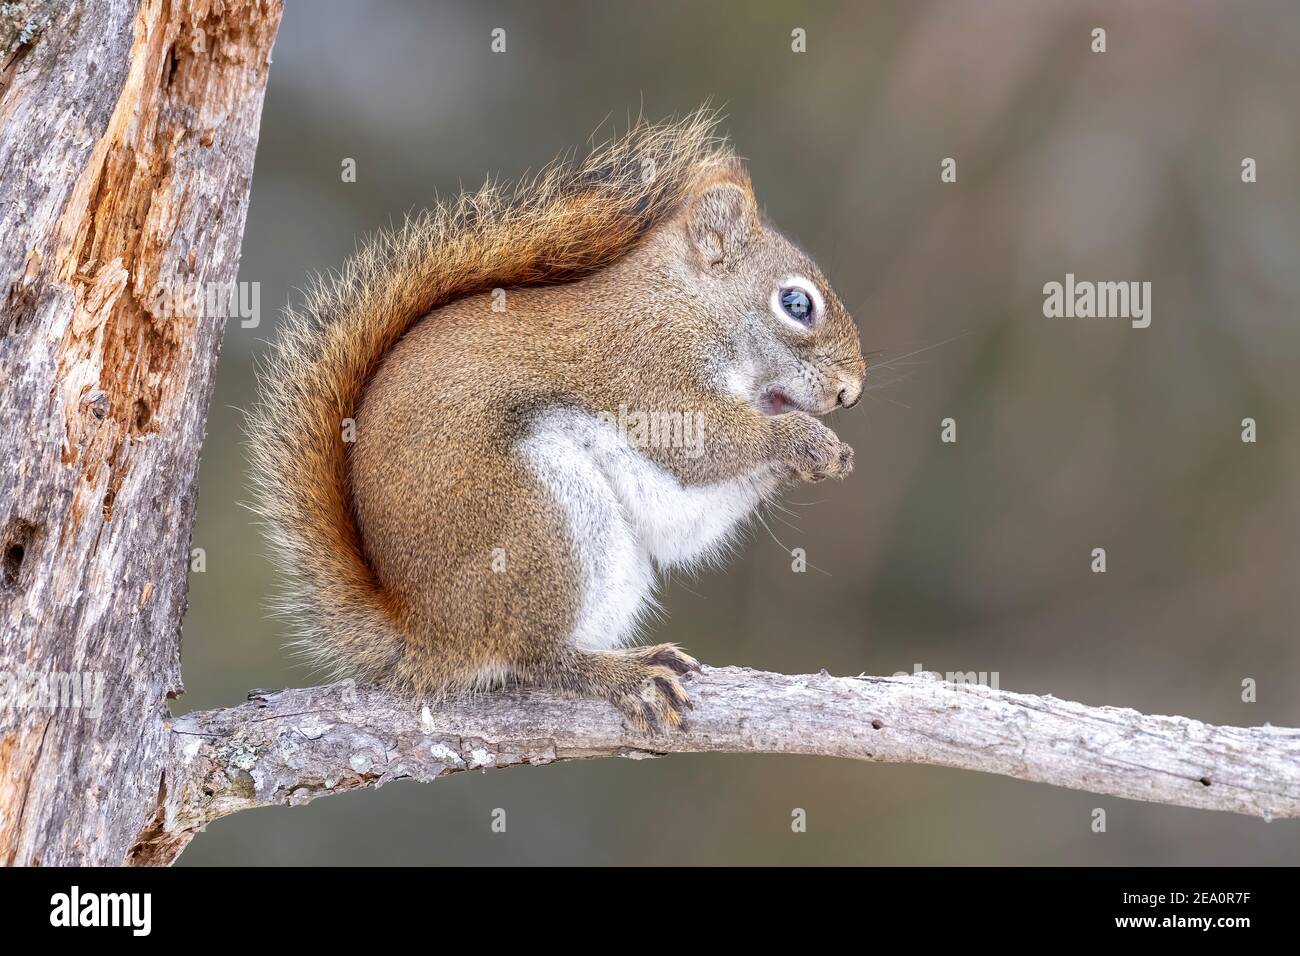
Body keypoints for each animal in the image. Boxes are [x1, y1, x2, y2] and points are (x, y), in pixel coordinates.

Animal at [248, 109, 866, 731]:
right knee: (532, 655)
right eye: (796, 304)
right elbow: (699, 445)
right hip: (537, 518)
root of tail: (425, 635)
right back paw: (621, 674)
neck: (686, 305)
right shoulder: (645, 370)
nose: (851, 392)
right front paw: (800, 439)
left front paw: (830, 455)